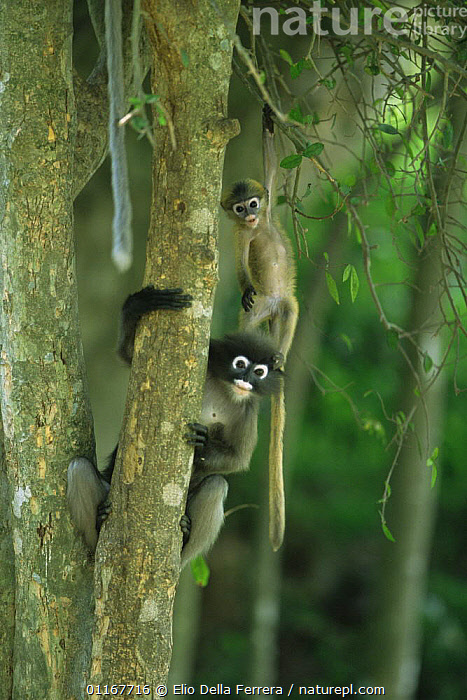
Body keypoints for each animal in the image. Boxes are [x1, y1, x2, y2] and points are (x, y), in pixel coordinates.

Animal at [67, 286, 283, 566]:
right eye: (240, 364)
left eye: (259, 372)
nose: (245, 381)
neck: (224, 388)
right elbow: (128, 353)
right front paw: (140, 304)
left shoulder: (248, 411)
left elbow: (238, 458)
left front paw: (203, 444)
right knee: (79, 467)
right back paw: (99, 523)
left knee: (217, 485)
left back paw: (184, 542)